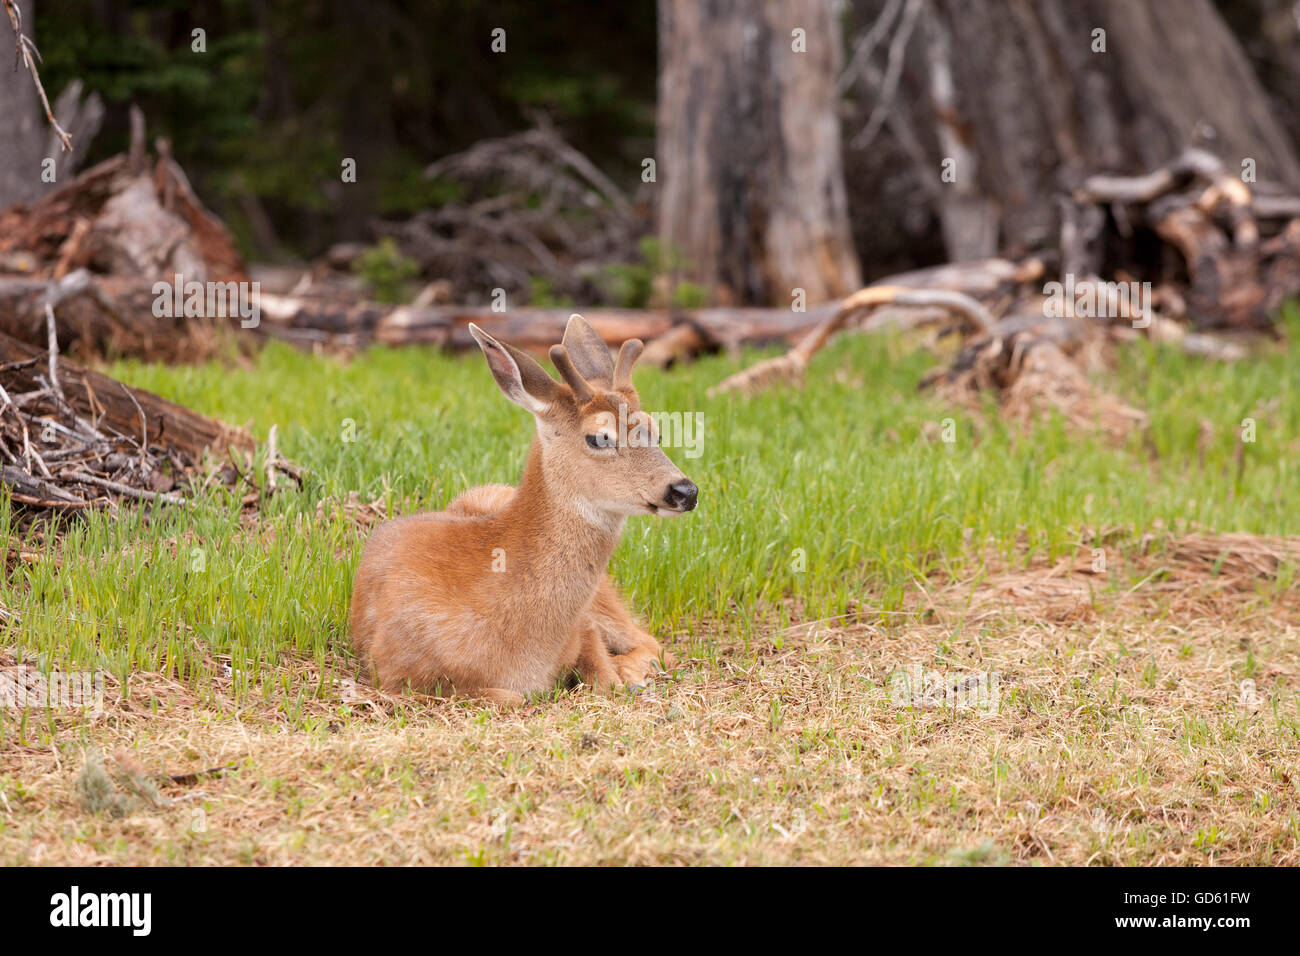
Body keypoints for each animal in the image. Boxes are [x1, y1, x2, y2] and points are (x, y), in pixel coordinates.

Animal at [349, 314, 698, 706]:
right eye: (600, 437)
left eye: (657, 431)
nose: (685, 490)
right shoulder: (392, 670)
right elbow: (510, 697)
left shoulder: (584, 623)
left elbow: (603, 671)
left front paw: (618, 674)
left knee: (652, 642)